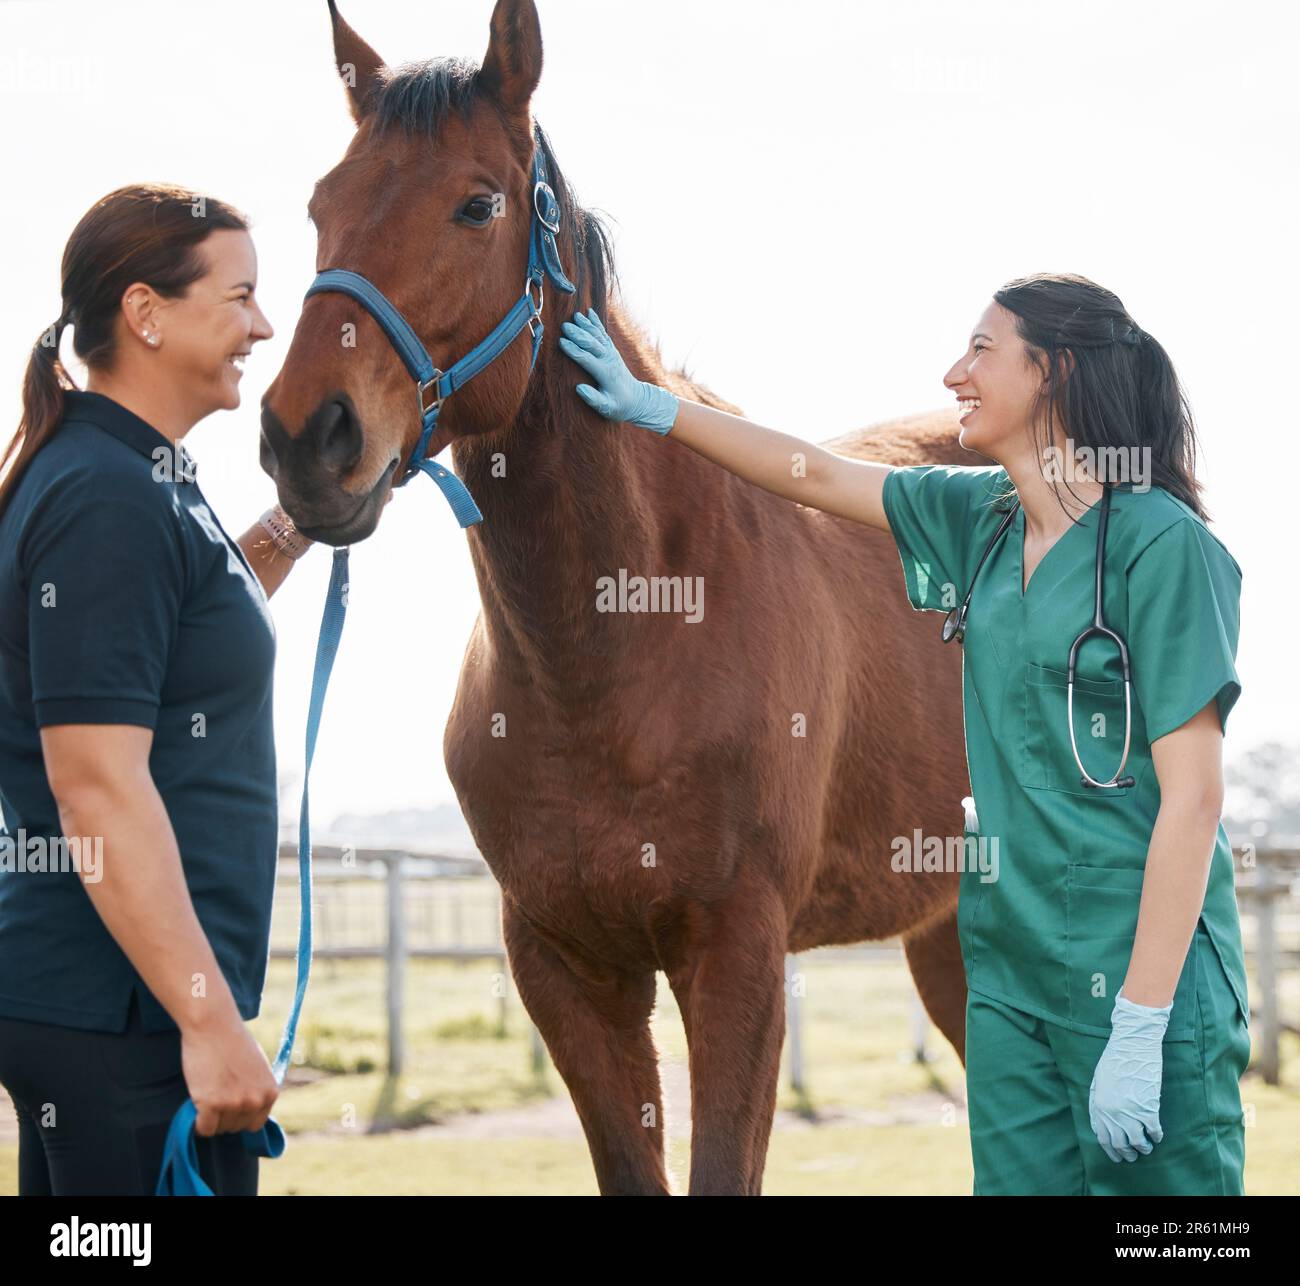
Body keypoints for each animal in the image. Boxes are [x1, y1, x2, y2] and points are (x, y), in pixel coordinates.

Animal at [261, 0, 977, 1195]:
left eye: (478, 203)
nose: (305, 439)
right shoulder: (566, 965)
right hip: (952, 930)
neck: (616, 648)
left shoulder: (734, 955)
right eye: (321, 203)